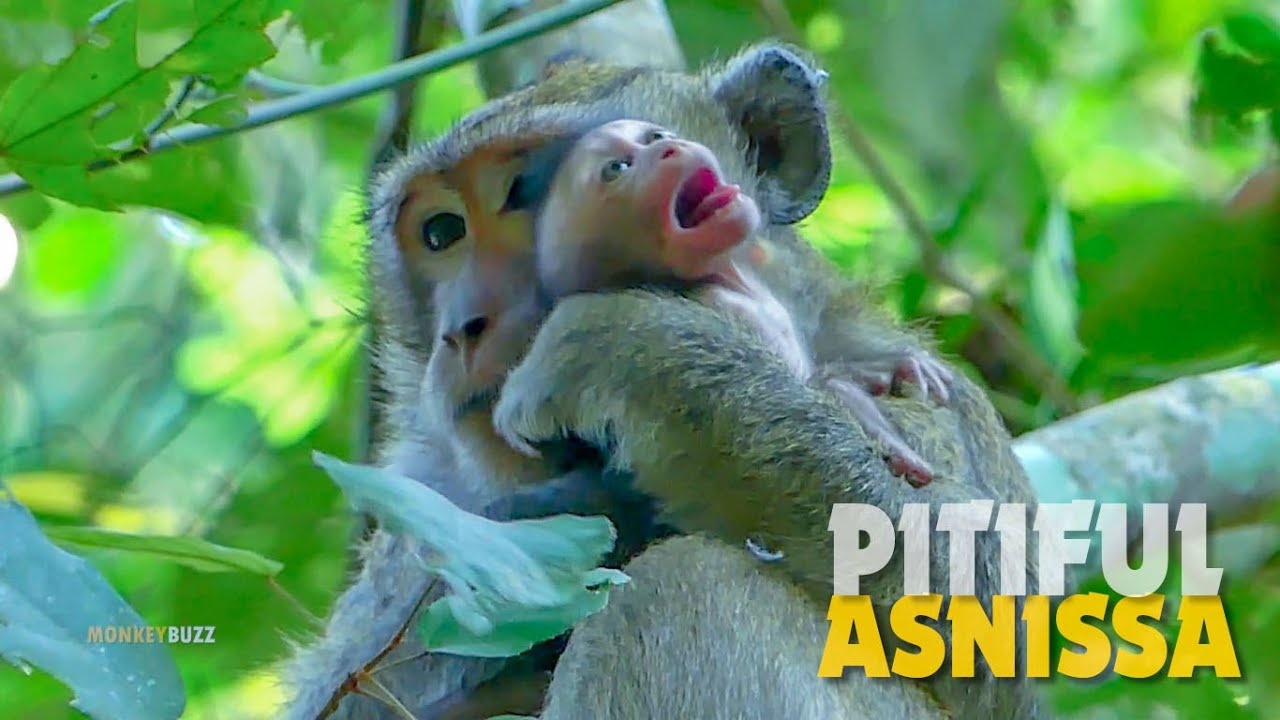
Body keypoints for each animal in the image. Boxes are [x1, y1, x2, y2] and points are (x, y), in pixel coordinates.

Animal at [522, 116, 953, 486]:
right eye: (617, 168)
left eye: (654, 137)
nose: (670, 148)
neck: (734, 280)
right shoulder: (719, 305)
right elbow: (811, 384)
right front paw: (892, 442)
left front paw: (891, 367)